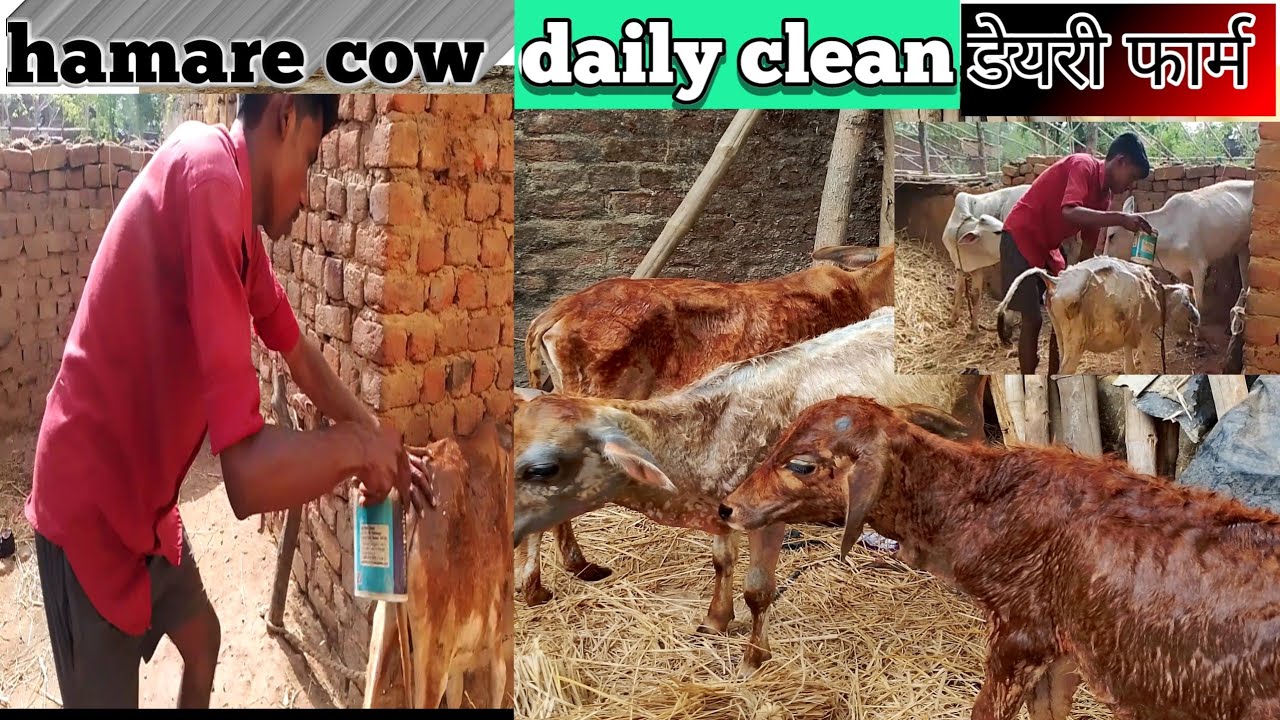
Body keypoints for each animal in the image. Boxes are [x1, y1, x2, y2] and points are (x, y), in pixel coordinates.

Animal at [513, 308, 988, 677]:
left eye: (542, 468)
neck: (710, 432)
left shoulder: (770, 515)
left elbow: (758, 589)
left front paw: (753, 659)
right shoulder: (725, 508)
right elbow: (722, 563)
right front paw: (715, 621)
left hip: (968, 409)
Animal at [996, 255, 1201, 374]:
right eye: (1186, 302)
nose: (1197, 318)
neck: (1156, 295)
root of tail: (1056, 280)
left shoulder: (1129, 336)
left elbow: (1129, 369)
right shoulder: (1144, 334)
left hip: (1062, 336)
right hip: (1076, 340)